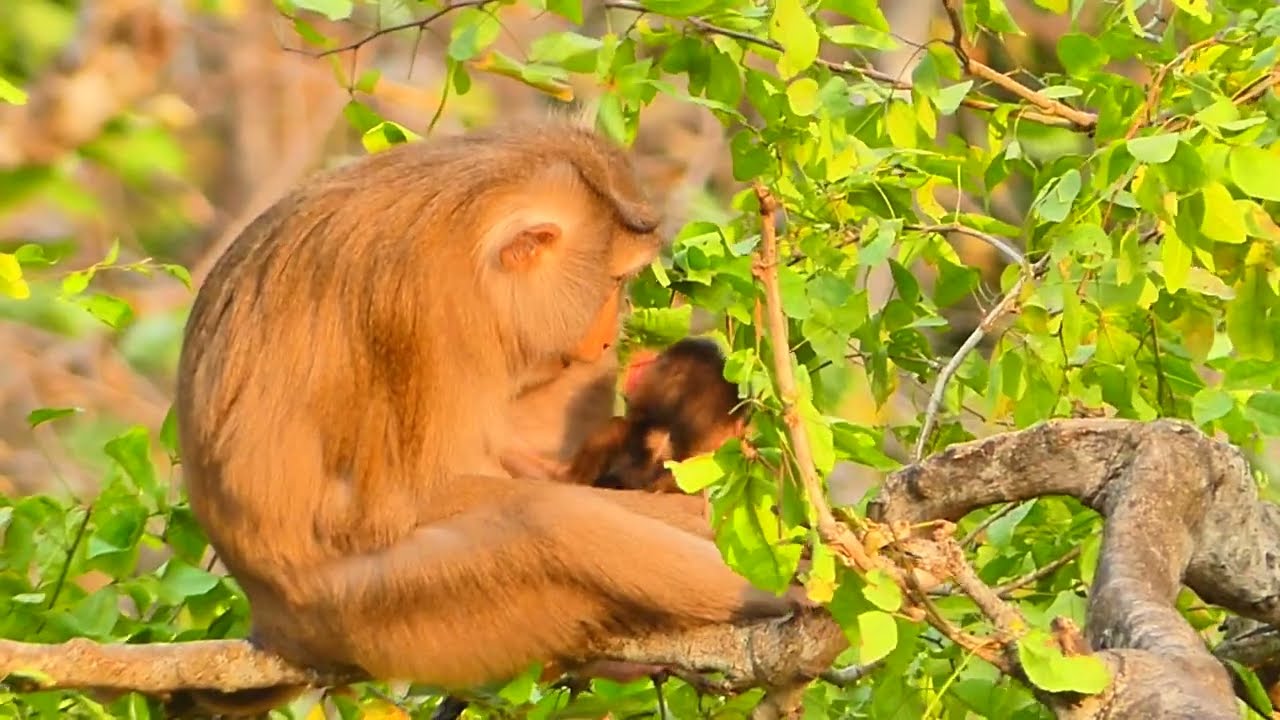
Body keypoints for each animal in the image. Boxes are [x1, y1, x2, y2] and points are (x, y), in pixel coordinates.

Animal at [175, 119, 813, 716]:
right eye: (614, 279)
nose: (608, 333)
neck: (468, 244)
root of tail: (273, 618)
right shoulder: (421, 304)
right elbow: (417, 497)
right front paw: (707, 519)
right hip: (373, 615)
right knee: (546, 525)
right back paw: (768, 593)